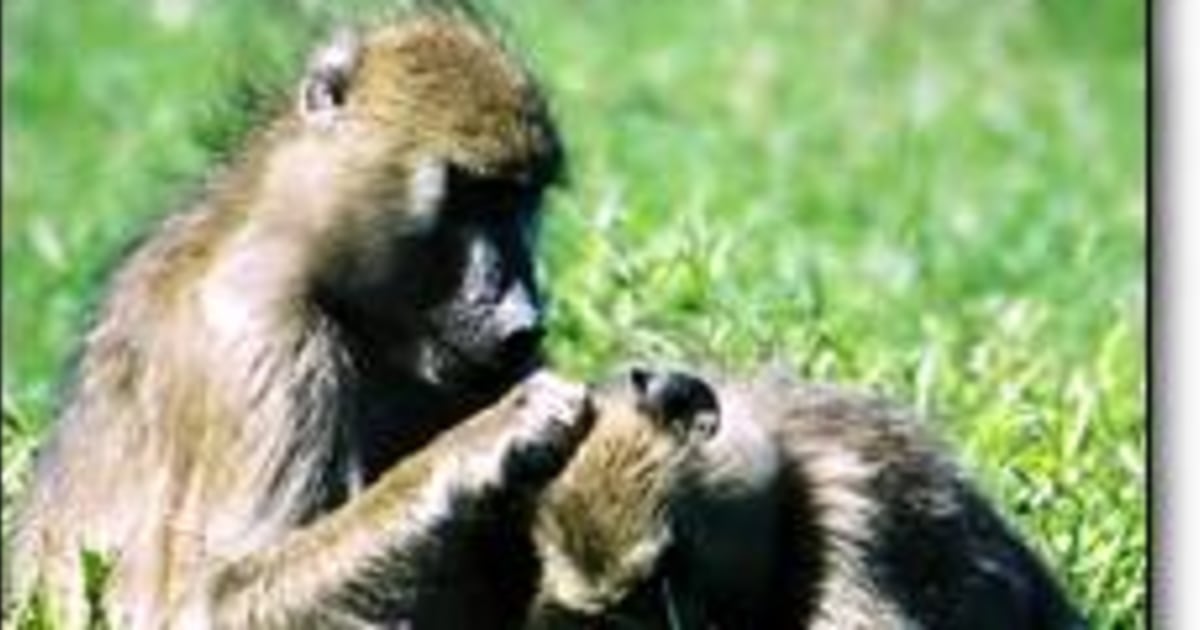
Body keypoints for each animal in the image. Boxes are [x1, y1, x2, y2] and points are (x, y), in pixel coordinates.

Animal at [9, 11, 578, 629]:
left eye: (522, 199)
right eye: (474, 193)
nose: (523, 316)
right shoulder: (260, 342)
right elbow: (208, 603)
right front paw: (490, 434)